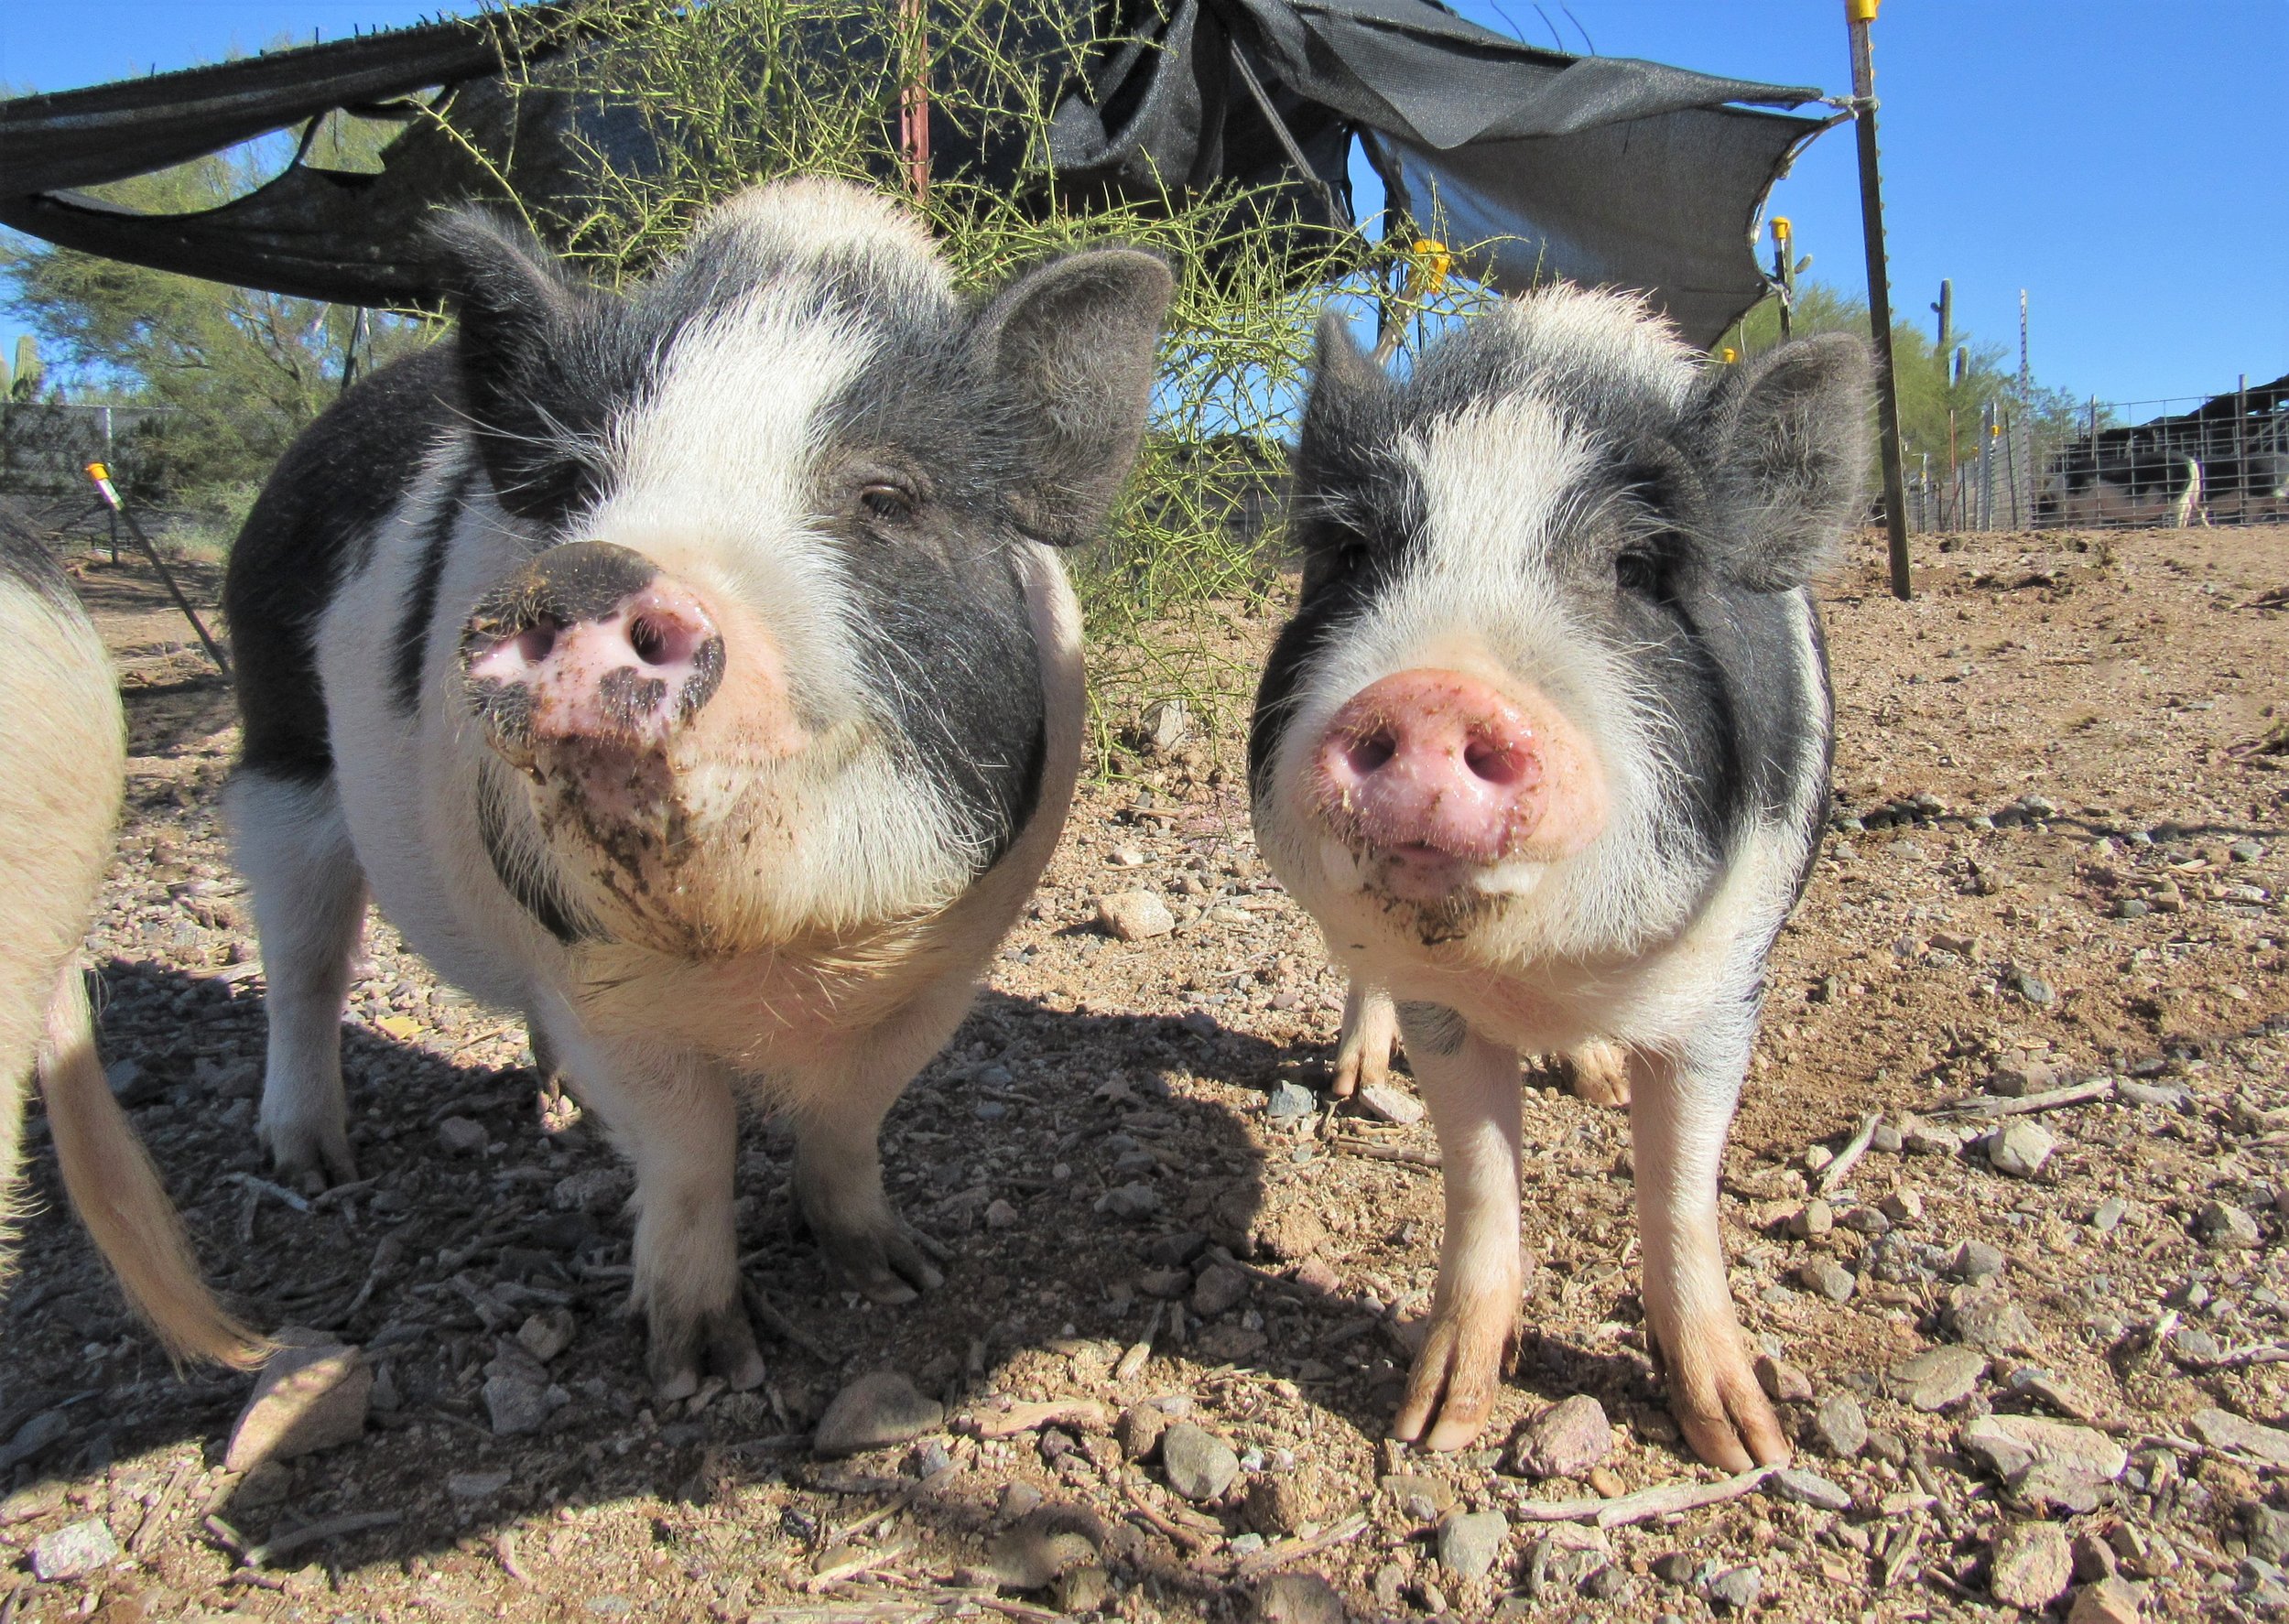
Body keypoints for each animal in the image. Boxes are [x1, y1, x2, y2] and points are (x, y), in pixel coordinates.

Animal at [222, 179, 1171, 1397]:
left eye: (886, 495)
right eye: (575, 487)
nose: (592, 569)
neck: (771, 951)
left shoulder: (946, 964)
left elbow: (851, 1116)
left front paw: (899, 1274)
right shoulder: (593, 982)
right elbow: (688, 1148)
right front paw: (701, 1365)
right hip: (278, 747)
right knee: (300, 963)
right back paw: (314, 1165)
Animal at [1250, 285, 1868, 1469]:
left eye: (1637, 568)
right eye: (1352, 553)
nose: (1435, 689)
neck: (1533, 969)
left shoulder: (1726, 983)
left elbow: (1680, 1188)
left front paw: (1746, 1445)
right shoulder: (1442, 1008)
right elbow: (1479, 1174)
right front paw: (1435, 1427)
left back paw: (1592, 1078)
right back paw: (1353, 1082)